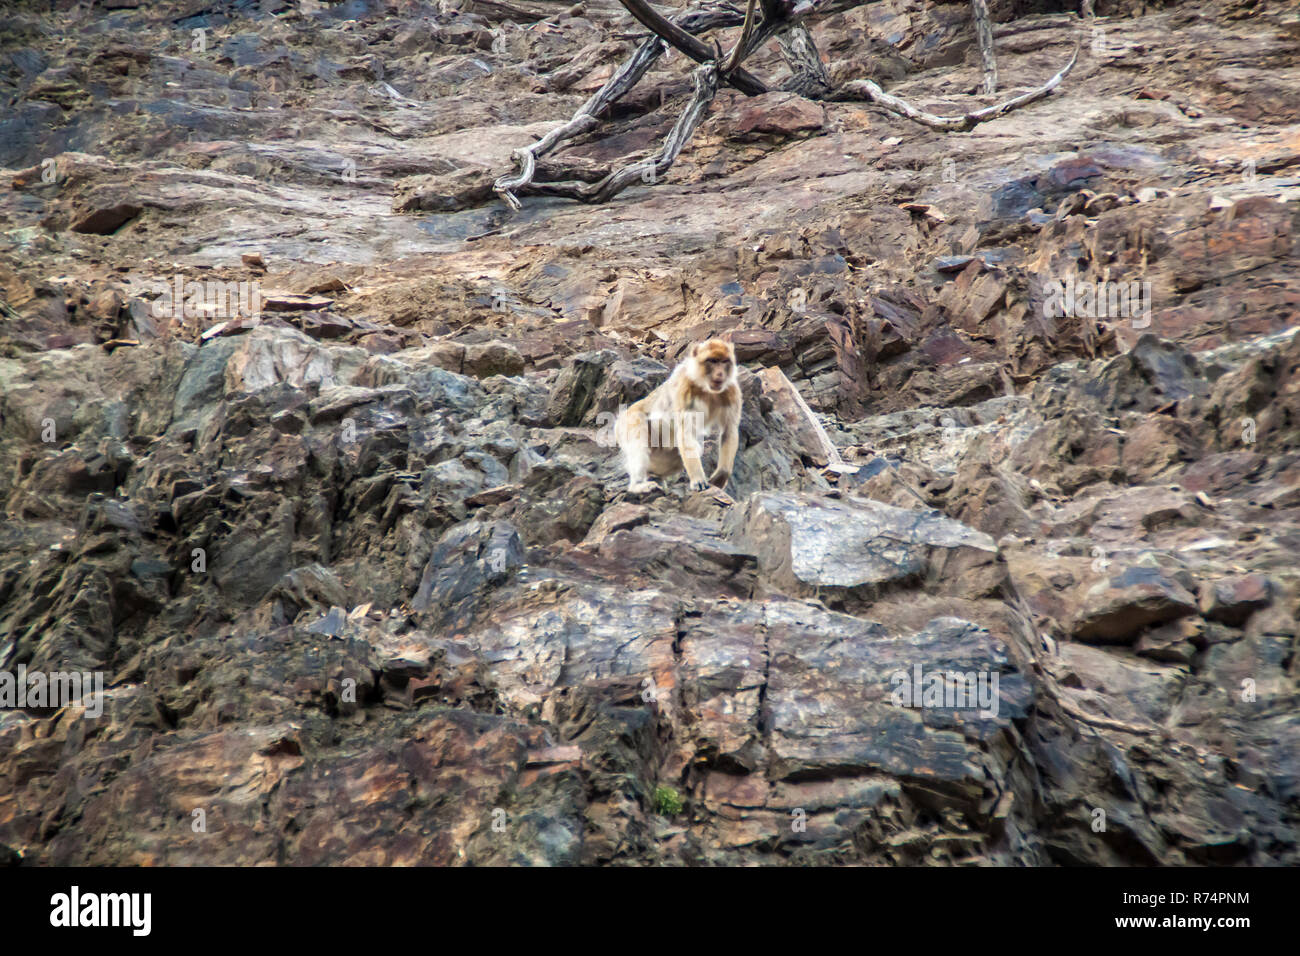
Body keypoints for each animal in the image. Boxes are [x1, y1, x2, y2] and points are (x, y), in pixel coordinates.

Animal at [615, 338, 741, 495]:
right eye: (712, 361)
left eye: (725, 361)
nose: (720, 374)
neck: (705, 388)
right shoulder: (684, 390)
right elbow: (685, 432)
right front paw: (698, 480)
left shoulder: (732, 391)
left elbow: (729, 430)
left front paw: (721, 476)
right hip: (628, 422)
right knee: (638, 445)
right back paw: (638, 485)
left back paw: (655, 476)